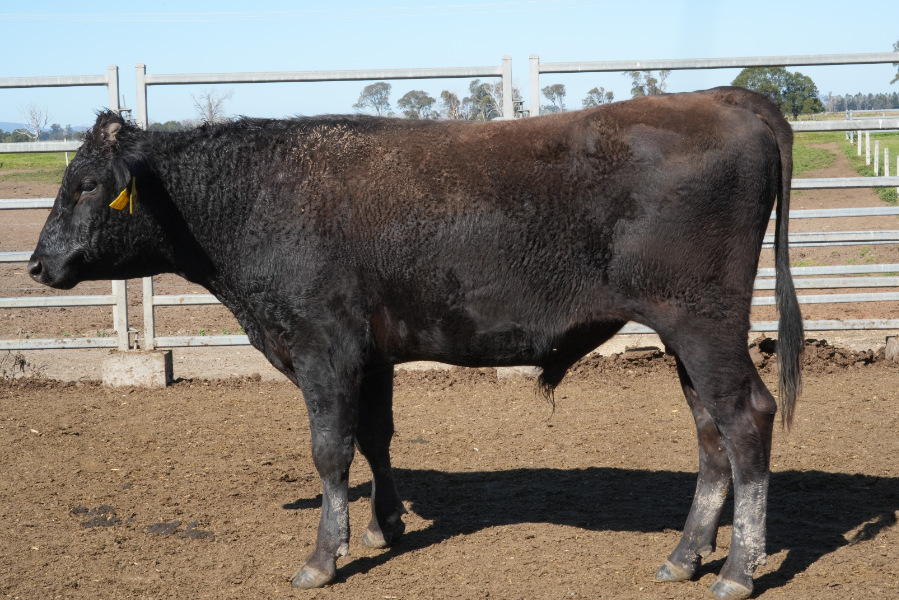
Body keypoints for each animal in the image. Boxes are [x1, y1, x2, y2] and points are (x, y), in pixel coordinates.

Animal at [28, 87, 802, 599]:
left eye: (87, 185)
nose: (36, 264)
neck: (254, 196)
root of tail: (721, 96)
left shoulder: (324, 348)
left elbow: (330, 450)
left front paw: (323, 558)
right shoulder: (371, 357)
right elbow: (376, 438)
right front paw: (385, 525)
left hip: (703, 326)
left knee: (745, 420)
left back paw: (738, 570)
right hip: (683, 338)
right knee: (709, 435)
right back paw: (685, 555)